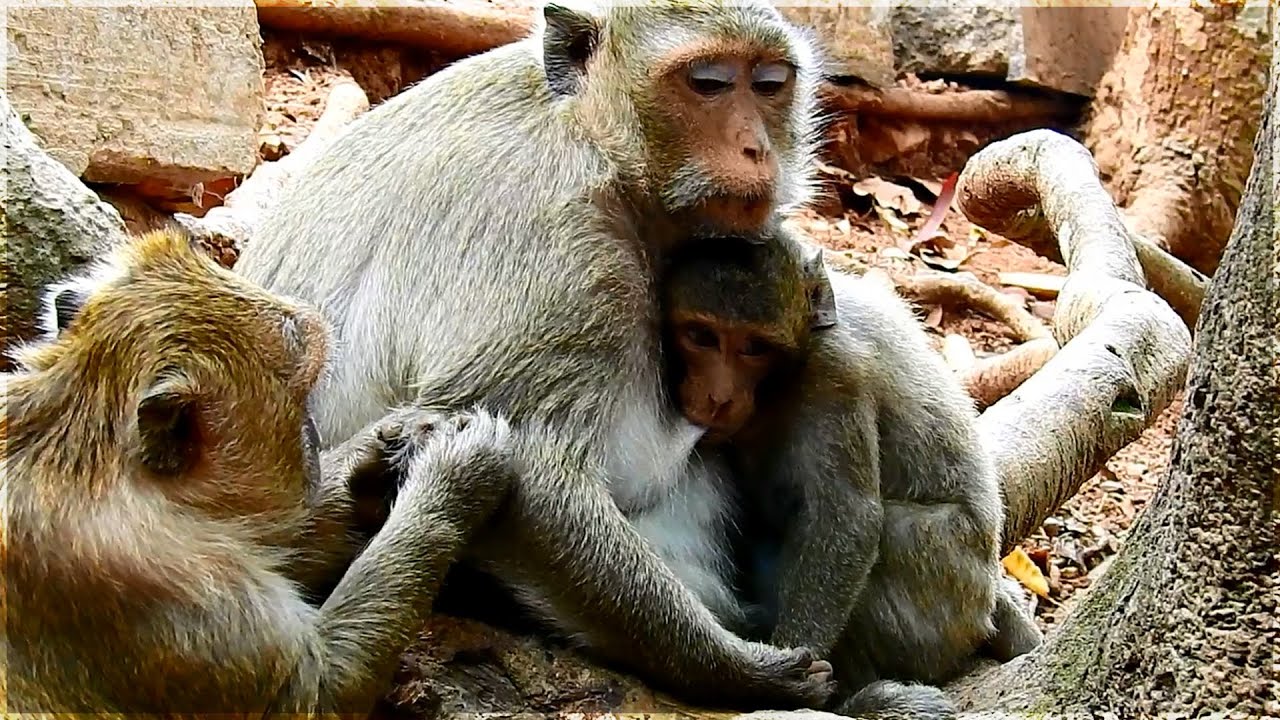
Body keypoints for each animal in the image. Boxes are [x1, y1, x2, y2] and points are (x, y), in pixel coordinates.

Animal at [0, 228, 517, 716]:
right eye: (302, 396)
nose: (312, 440)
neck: (79, 444)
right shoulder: (174, 590)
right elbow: (317, 696)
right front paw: (452, 483)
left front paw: (384, 454)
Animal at [231, 0, 852, 710]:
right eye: (709, 83)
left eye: (771, 83)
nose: (757, 149)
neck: (592, 137)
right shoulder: (568, 252)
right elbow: (532, 466)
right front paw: (736, 669)